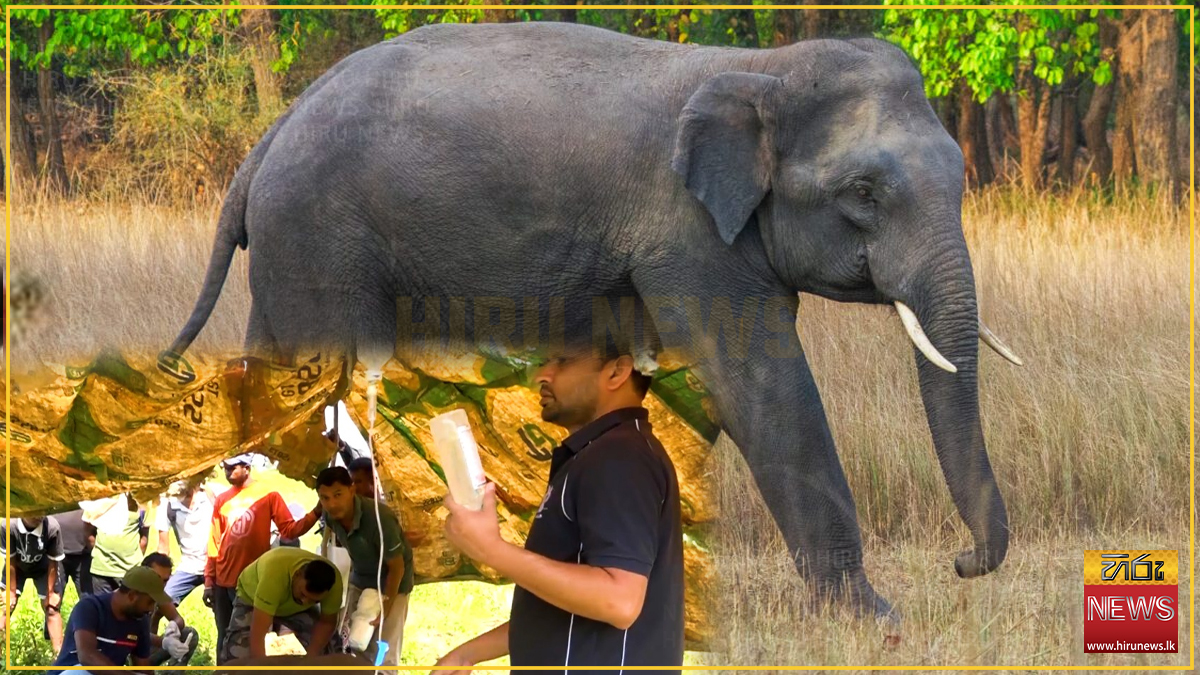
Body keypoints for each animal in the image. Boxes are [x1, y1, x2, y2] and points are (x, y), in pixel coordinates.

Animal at [162, 21, 1024, 619]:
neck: (764, 70)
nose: (962, 561)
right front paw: (873, 618)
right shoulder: (689, 233)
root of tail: (269, 138)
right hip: (325, 239)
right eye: (864, 194)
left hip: (297, 250)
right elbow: (762, 384)